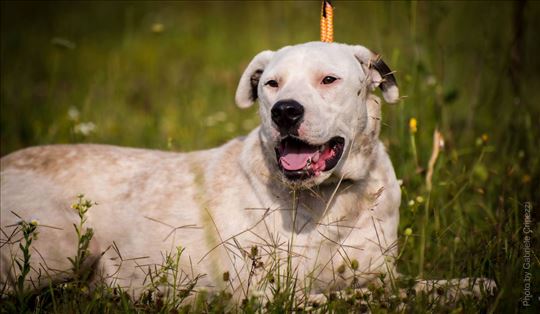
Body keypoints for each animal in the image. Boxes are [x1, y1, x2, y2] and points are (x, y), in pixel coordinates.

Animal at [0, 42, 492, 302]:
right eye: (271, 83)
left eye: (328, 80)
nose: (284, 111)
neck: (331, 197)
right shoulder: (269, 294)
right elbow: (347, 298)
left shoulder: (382, 272)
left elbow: (413, 287)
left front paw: (471, 285)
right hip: (55, 250)